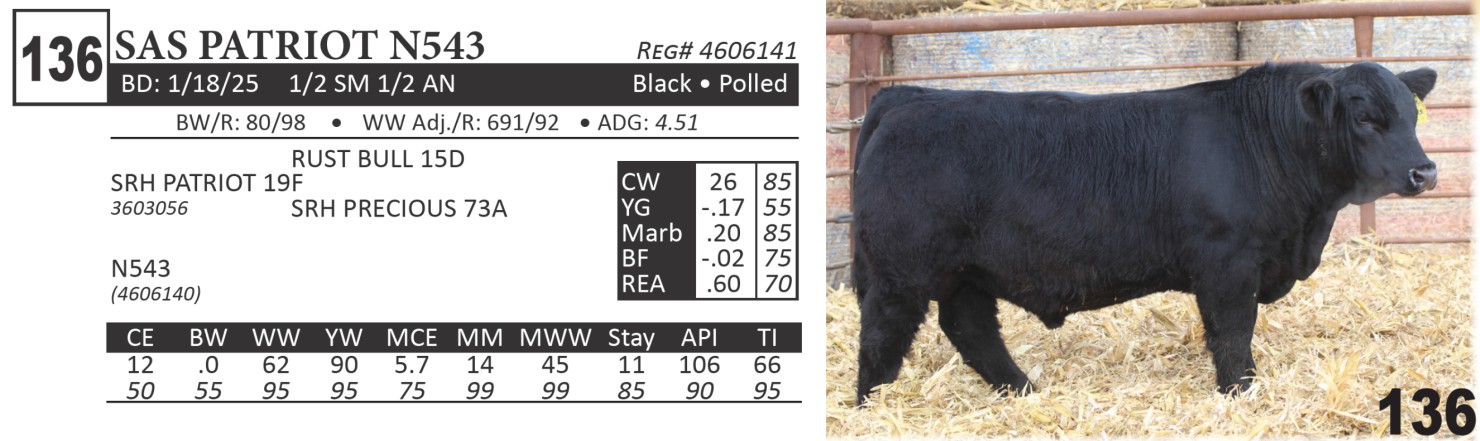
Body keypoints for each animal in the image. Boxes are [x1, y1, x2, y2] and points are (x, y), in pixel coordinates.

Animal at [850, 62, 1438, 405]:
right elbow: (1232, 331)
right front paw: (1240, 392)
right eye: (1365, 119)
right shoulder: (1227, 264)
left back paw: (1024, 391)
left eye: (1412, 116)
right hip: (901, 273)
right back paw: (869, 407)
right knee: (882, 337)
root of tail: (906, 97)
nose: (1425, 172)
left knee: (971, 330)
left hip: (966, 272)